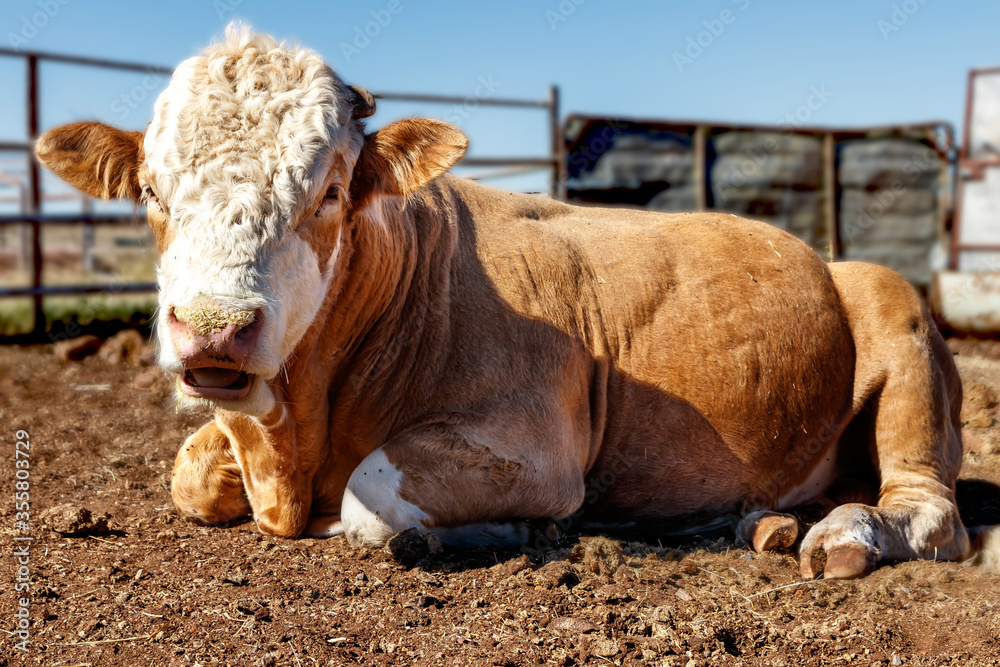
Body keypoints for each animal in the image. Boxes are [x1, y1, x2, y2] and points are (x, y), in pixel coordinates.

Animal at [34, 27, 987, 580]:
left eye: (331, 192)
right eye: (150, 190)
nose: (215, 328)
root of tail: (831, 258)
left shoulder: (535, 445)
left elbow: (369, 498)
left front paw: (494, 534)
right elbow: (189, 474)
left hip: (898, 320)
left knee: (932, 508)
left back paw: (848, 533)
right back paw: (768, 521)